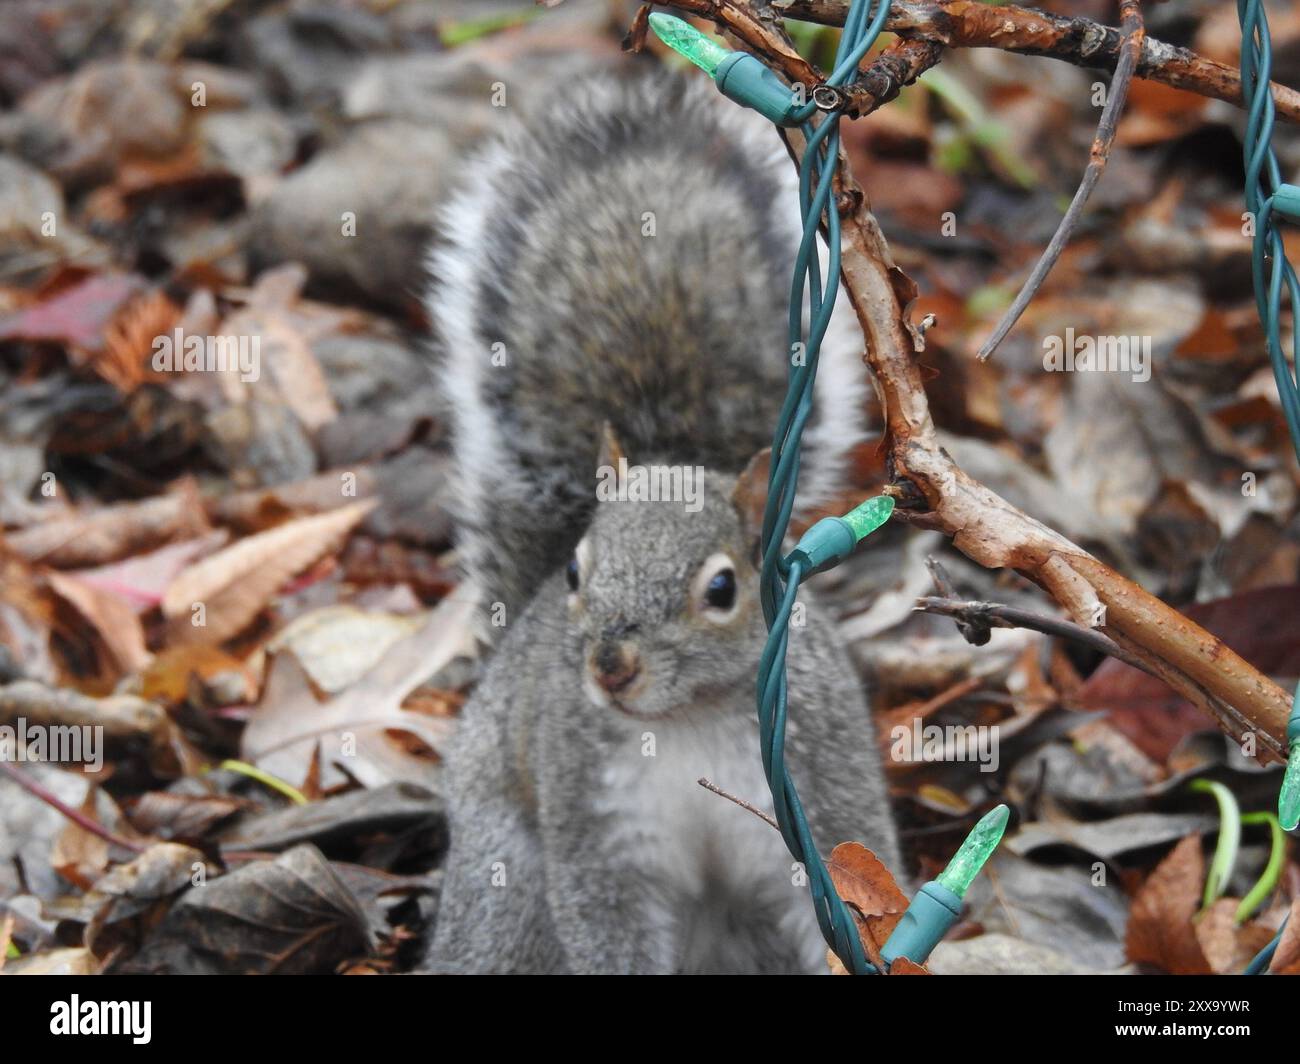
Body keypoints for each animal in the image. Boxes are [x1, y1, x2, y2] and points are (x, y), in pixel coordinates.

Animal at [423, 71, 900, 974]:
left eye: (722, 590)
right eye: (575, 572)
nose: (611, 666)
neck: (684, 726)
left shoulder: (818, 793)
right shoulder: (594, 828)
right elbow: (606, 926)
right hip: (506, 885)